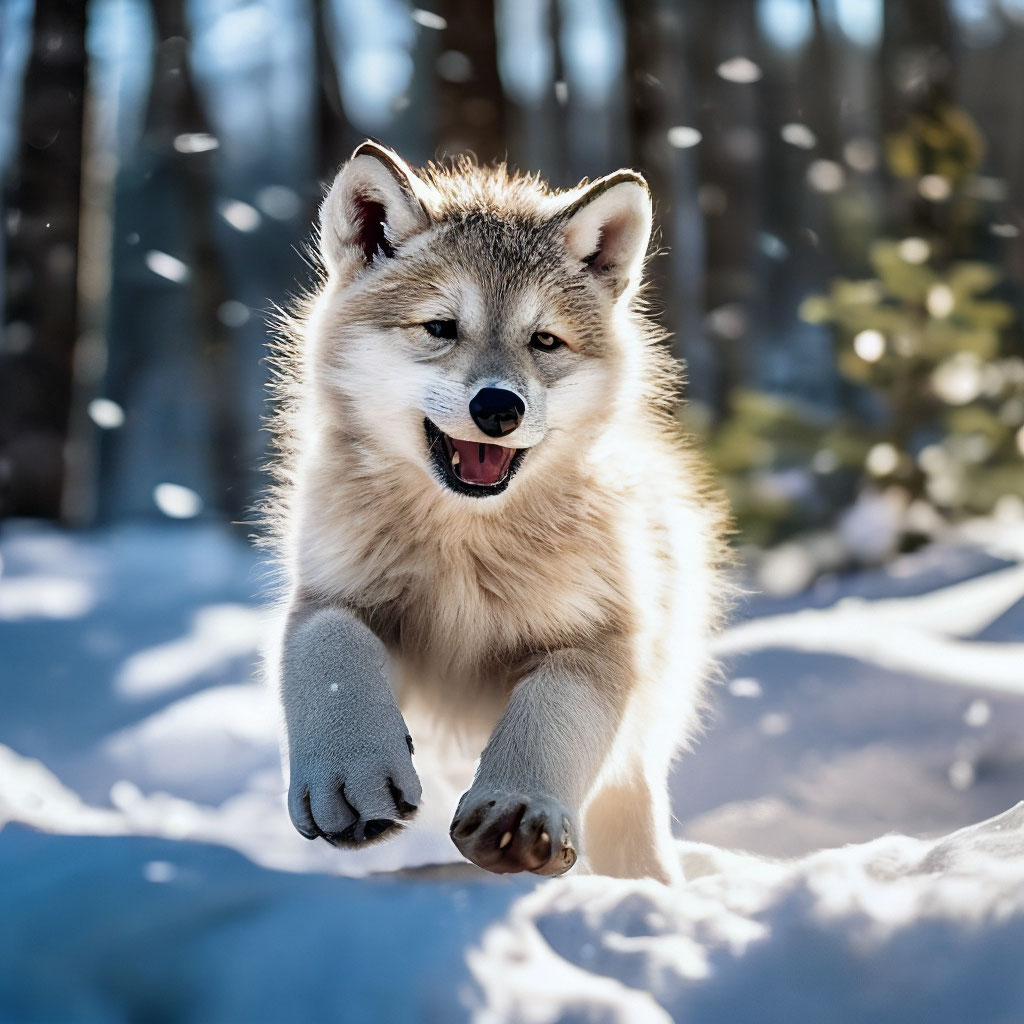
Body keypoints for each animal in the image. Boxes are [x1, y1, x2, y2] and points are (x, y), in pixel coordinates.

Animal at [268, 141, 729, 884]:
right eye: (439, 328)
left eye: (544, 341)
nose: (498, 407)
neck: (467, 544)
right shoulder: (330, 595)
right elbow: (330, 653)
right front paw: (349, 775)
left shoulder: (600, 637)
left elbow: (550, 718)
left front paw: (521, 811)